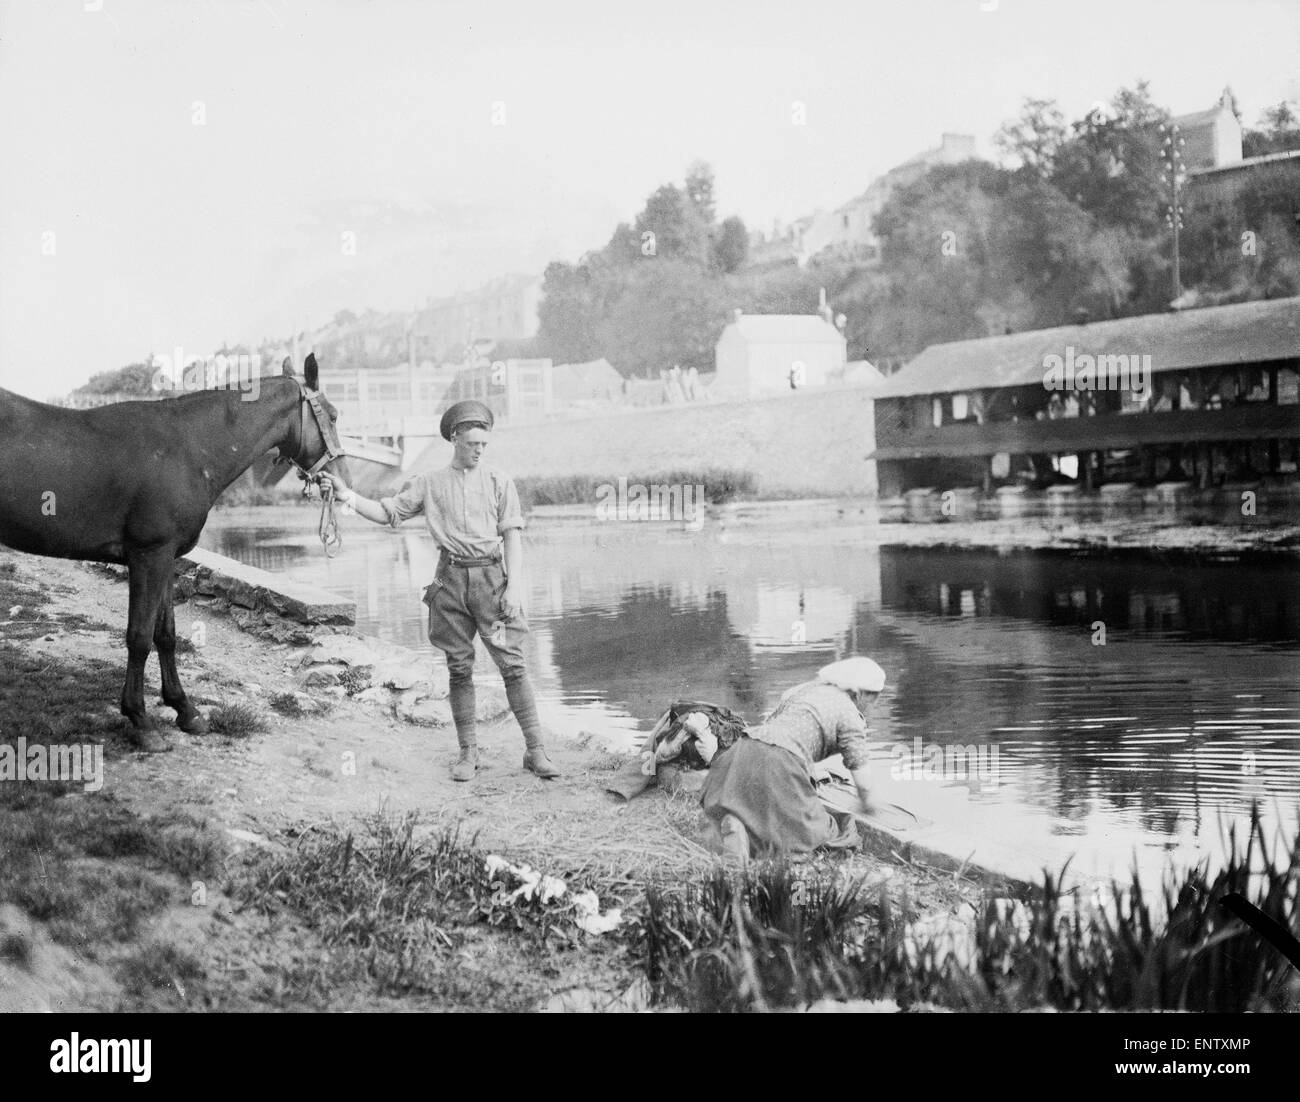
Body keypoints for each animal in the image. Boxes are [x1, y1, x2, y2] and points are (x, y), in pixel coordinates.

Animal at [0, 353, 351, 748]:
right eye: (333, 415)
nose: (343, 481)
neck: (187, 448)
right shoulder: (148, 556)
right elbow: (139, 637)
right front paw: (140, 720)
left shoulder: (167, 559)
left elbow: (165, 635)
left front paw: (184, 709)